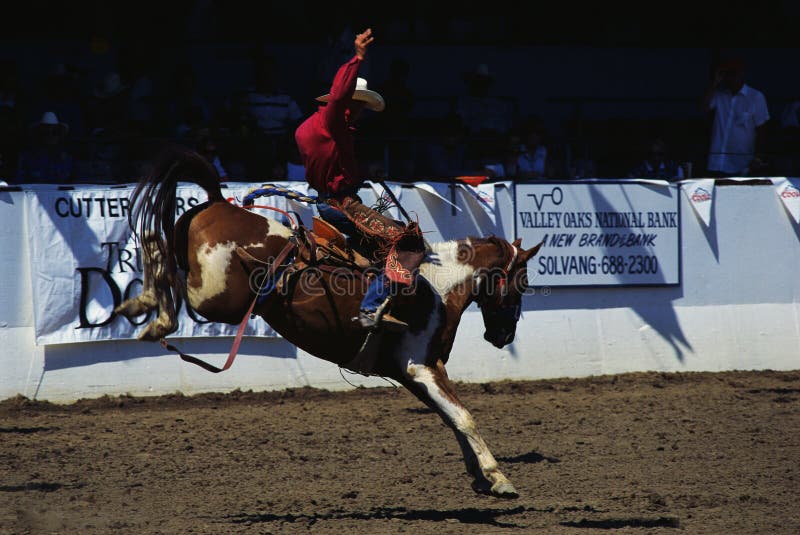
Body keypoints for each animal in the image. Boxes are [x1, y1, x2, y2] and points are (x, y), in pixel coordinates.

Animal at [116, 146, 543, 498]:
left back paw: (139, 305)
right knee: (168, 271)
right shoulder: (421, 367)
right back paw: (154, 315)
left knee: (155, 240)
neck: (437, 285)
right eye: (521, 283)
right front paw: (499, 478)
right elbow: (464, 417)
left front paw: (480, 477)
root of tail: (221, 203)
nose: (504, 335)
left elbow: (451, 419)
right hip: (216, 296)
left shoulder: (414, 374)